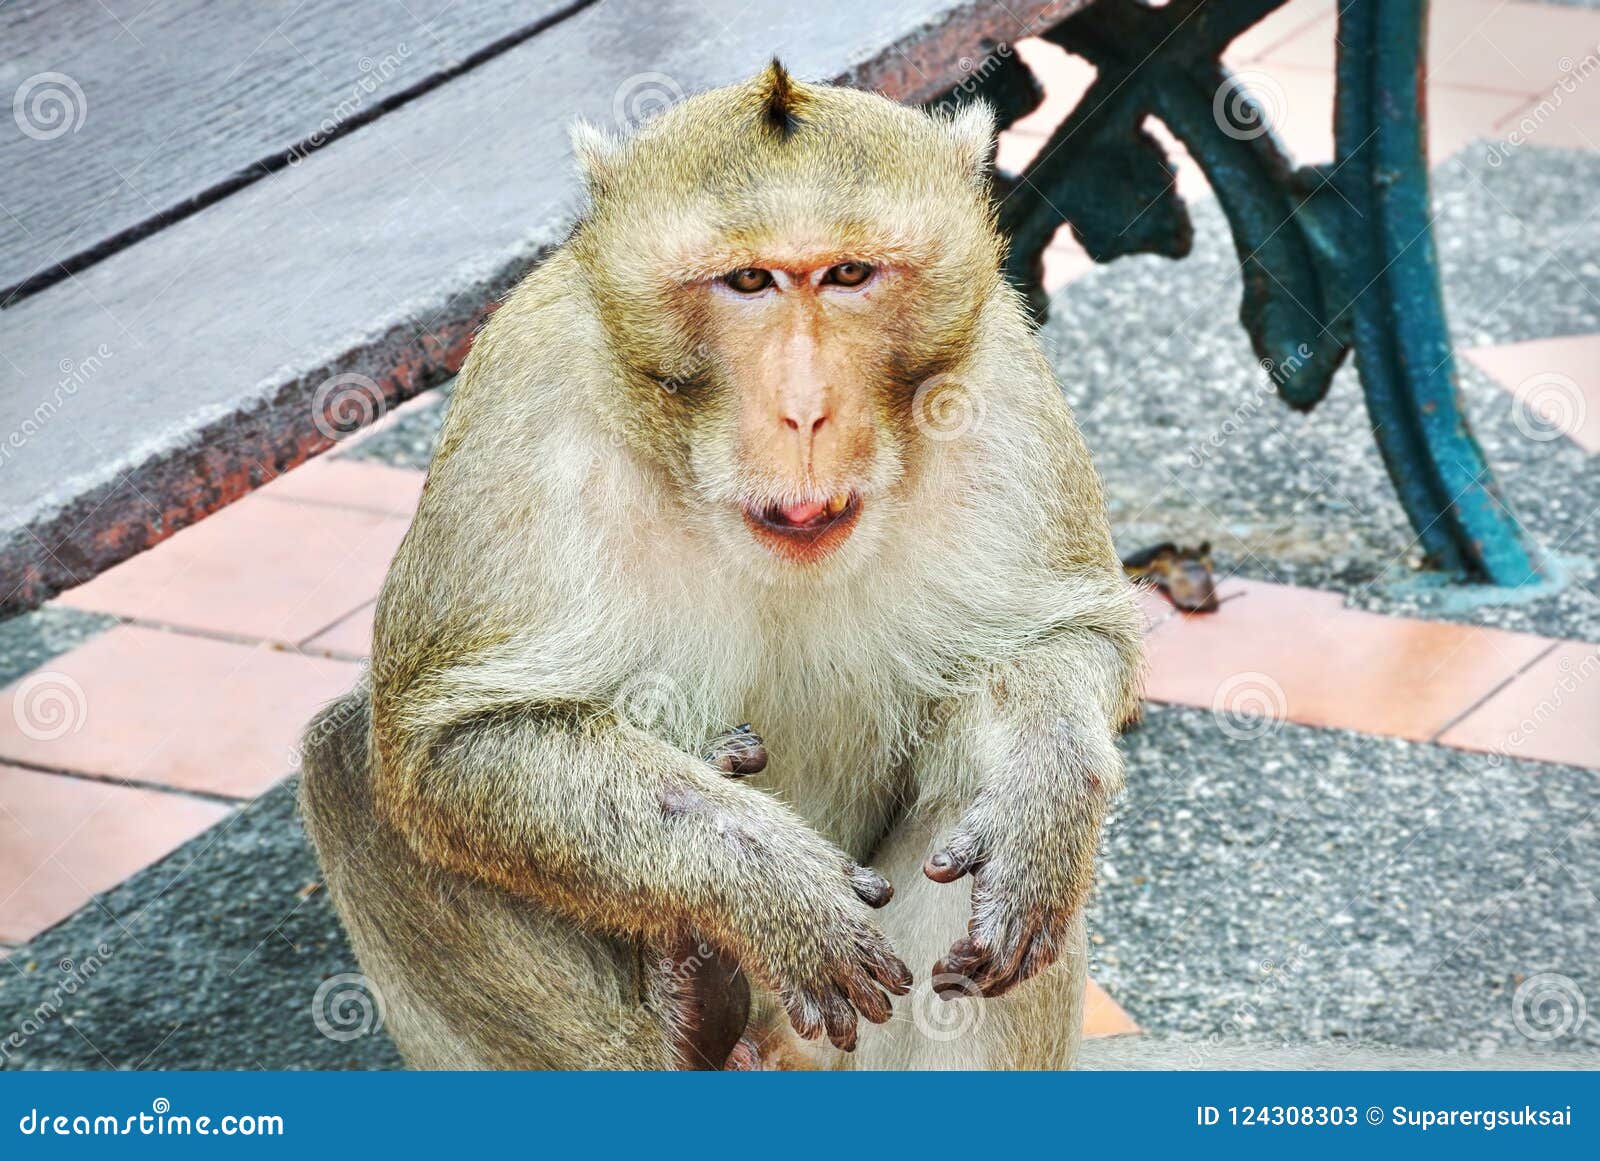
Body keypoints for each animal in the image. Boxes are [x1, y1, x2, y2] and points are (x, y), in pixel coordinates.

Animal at [298, 60, 1143, 1070]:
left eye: (848, 274)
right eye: (748, 281)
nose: (805, 409)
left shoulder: (1001, 375)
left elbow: (1072, 638)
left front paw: (1041, 794)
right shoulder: (525, 393)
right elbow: (450, 744)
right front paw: (766, 880)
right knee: (345, 764)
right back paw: (686, 1007)